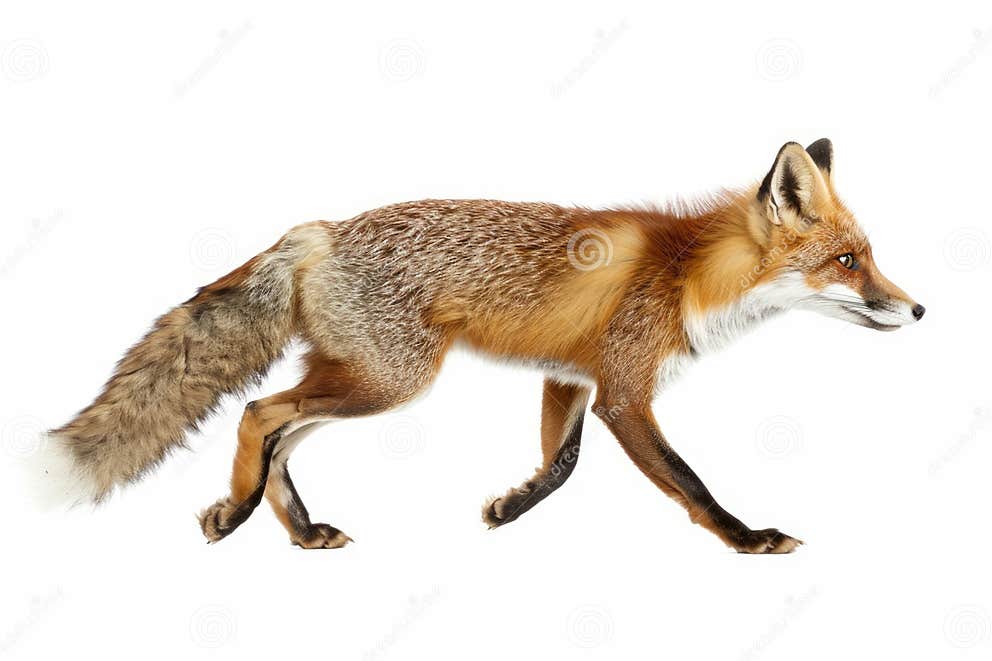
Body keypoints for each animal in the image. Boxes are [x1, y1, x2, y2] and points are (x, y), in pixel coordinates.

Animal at [37, 139, 924, 553]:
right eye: (849, 262)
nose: (918, 309)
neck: (688, 275)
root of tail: (318, 231)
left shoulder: (572, 380)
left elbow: (562, 465)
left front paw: (509, 506)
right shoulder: (625, 392)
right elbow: (690, 482)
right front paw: (749, 540)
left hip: (361, 377)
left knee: (281, 429)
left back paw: (296, 528)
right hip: (390, 381)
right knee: (259, 412)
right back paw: (240, 512)